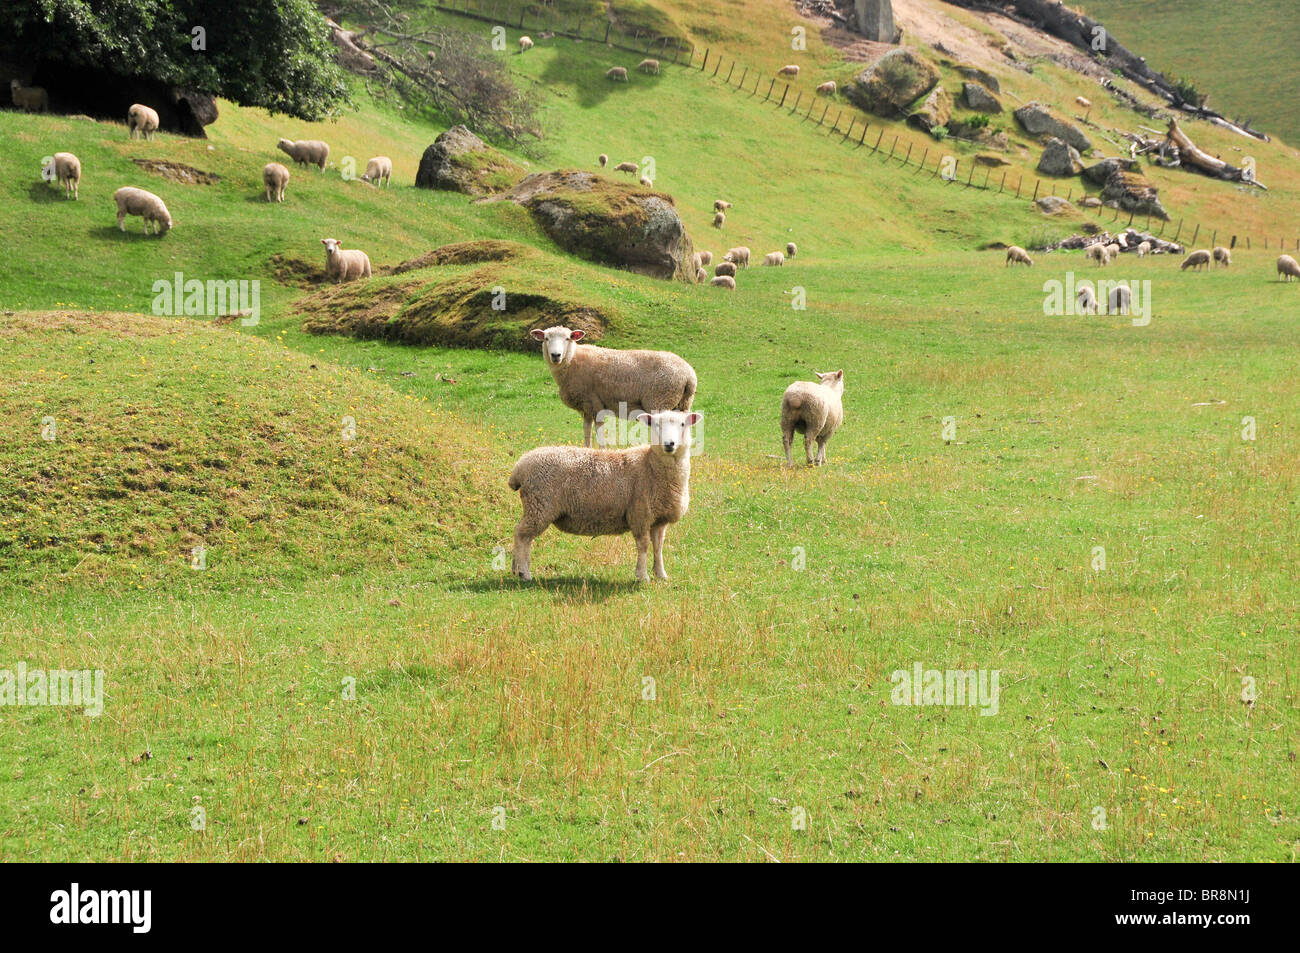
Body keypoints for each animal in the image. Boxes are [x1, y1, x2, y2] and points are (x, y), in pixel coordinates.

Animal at [508, 409, 703, 582]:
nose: (669, 444)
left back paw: (516, 568)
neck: (650, 466)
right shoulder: (640, 514)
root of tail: (520, 466)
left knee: (521, 534)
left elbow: (658, 547)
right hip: (540, 505)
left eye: (683, 424)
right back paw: (524, 573)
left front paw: (661, 574)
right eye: (655, 424)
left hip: (536, 505)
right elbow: (643, 546)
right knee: (521, 535)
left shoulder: (659, 519)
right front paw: (642, 576)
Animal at [529, 326, 698, 449]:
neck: (572, 360)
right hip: (683, 404)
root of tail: (689, 376)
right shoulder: (586, 407)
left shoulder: (595, 404)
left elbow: (600, 435)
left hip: (660, 400)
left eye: (567, 338)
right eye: (546, 338)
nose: (555, 355)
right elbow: (586, 432)